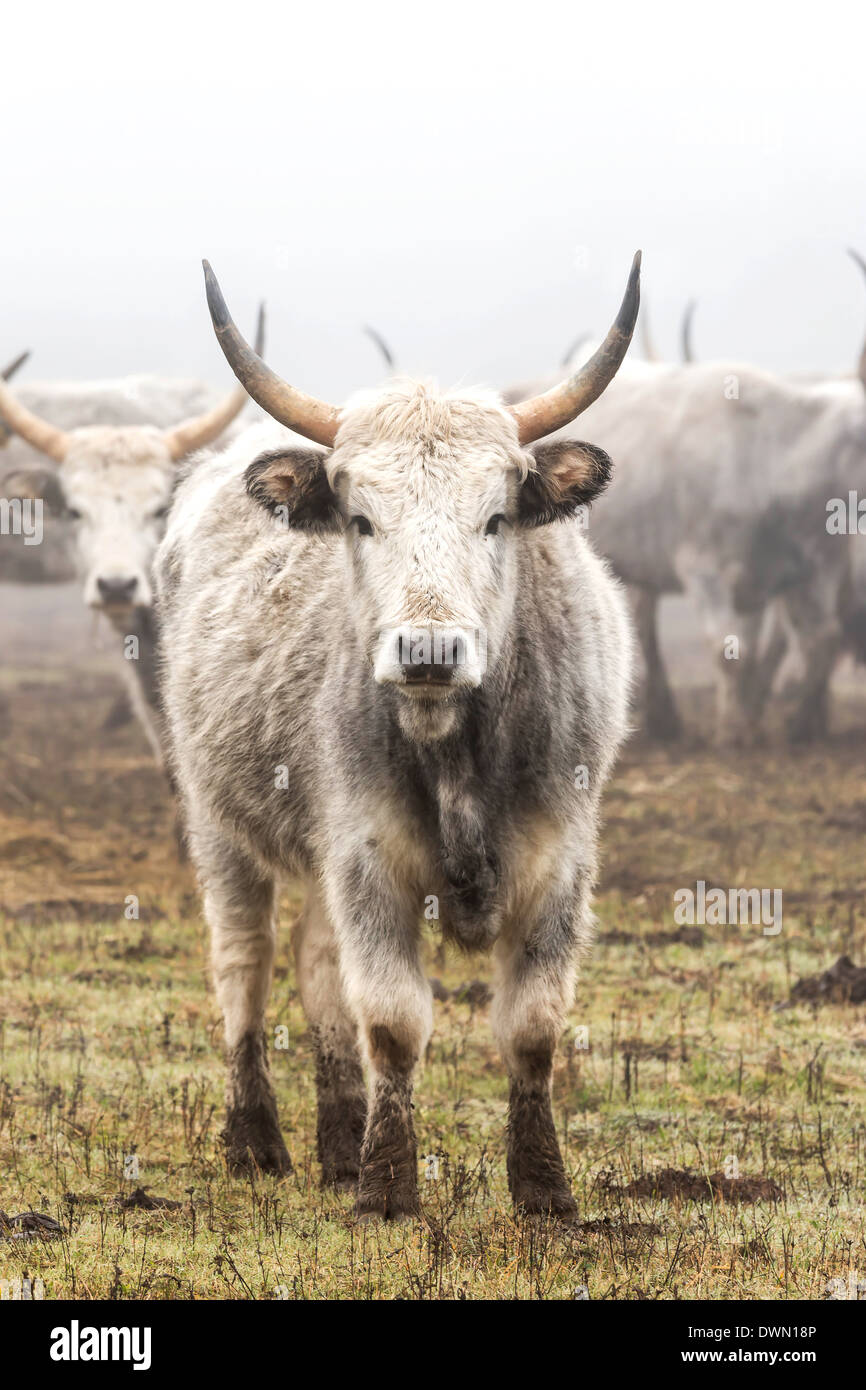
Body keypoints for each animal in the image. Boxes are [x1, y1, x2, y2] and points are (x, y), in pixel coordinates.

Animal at [154, 254, 641, 1220]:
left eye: (496, 517)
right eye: (361, 519)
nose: (428, 651)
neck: (455, 749)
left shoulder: (561, 862)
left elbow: (531, 1028)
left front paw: (543, 1189)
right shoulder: (368, 857)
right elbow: (392, 1021)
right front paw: (387, 1188)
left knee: (314, 971)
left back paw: (338, 1142)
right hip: (219, 825)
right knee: (246, 966)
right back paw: (255, 1140)